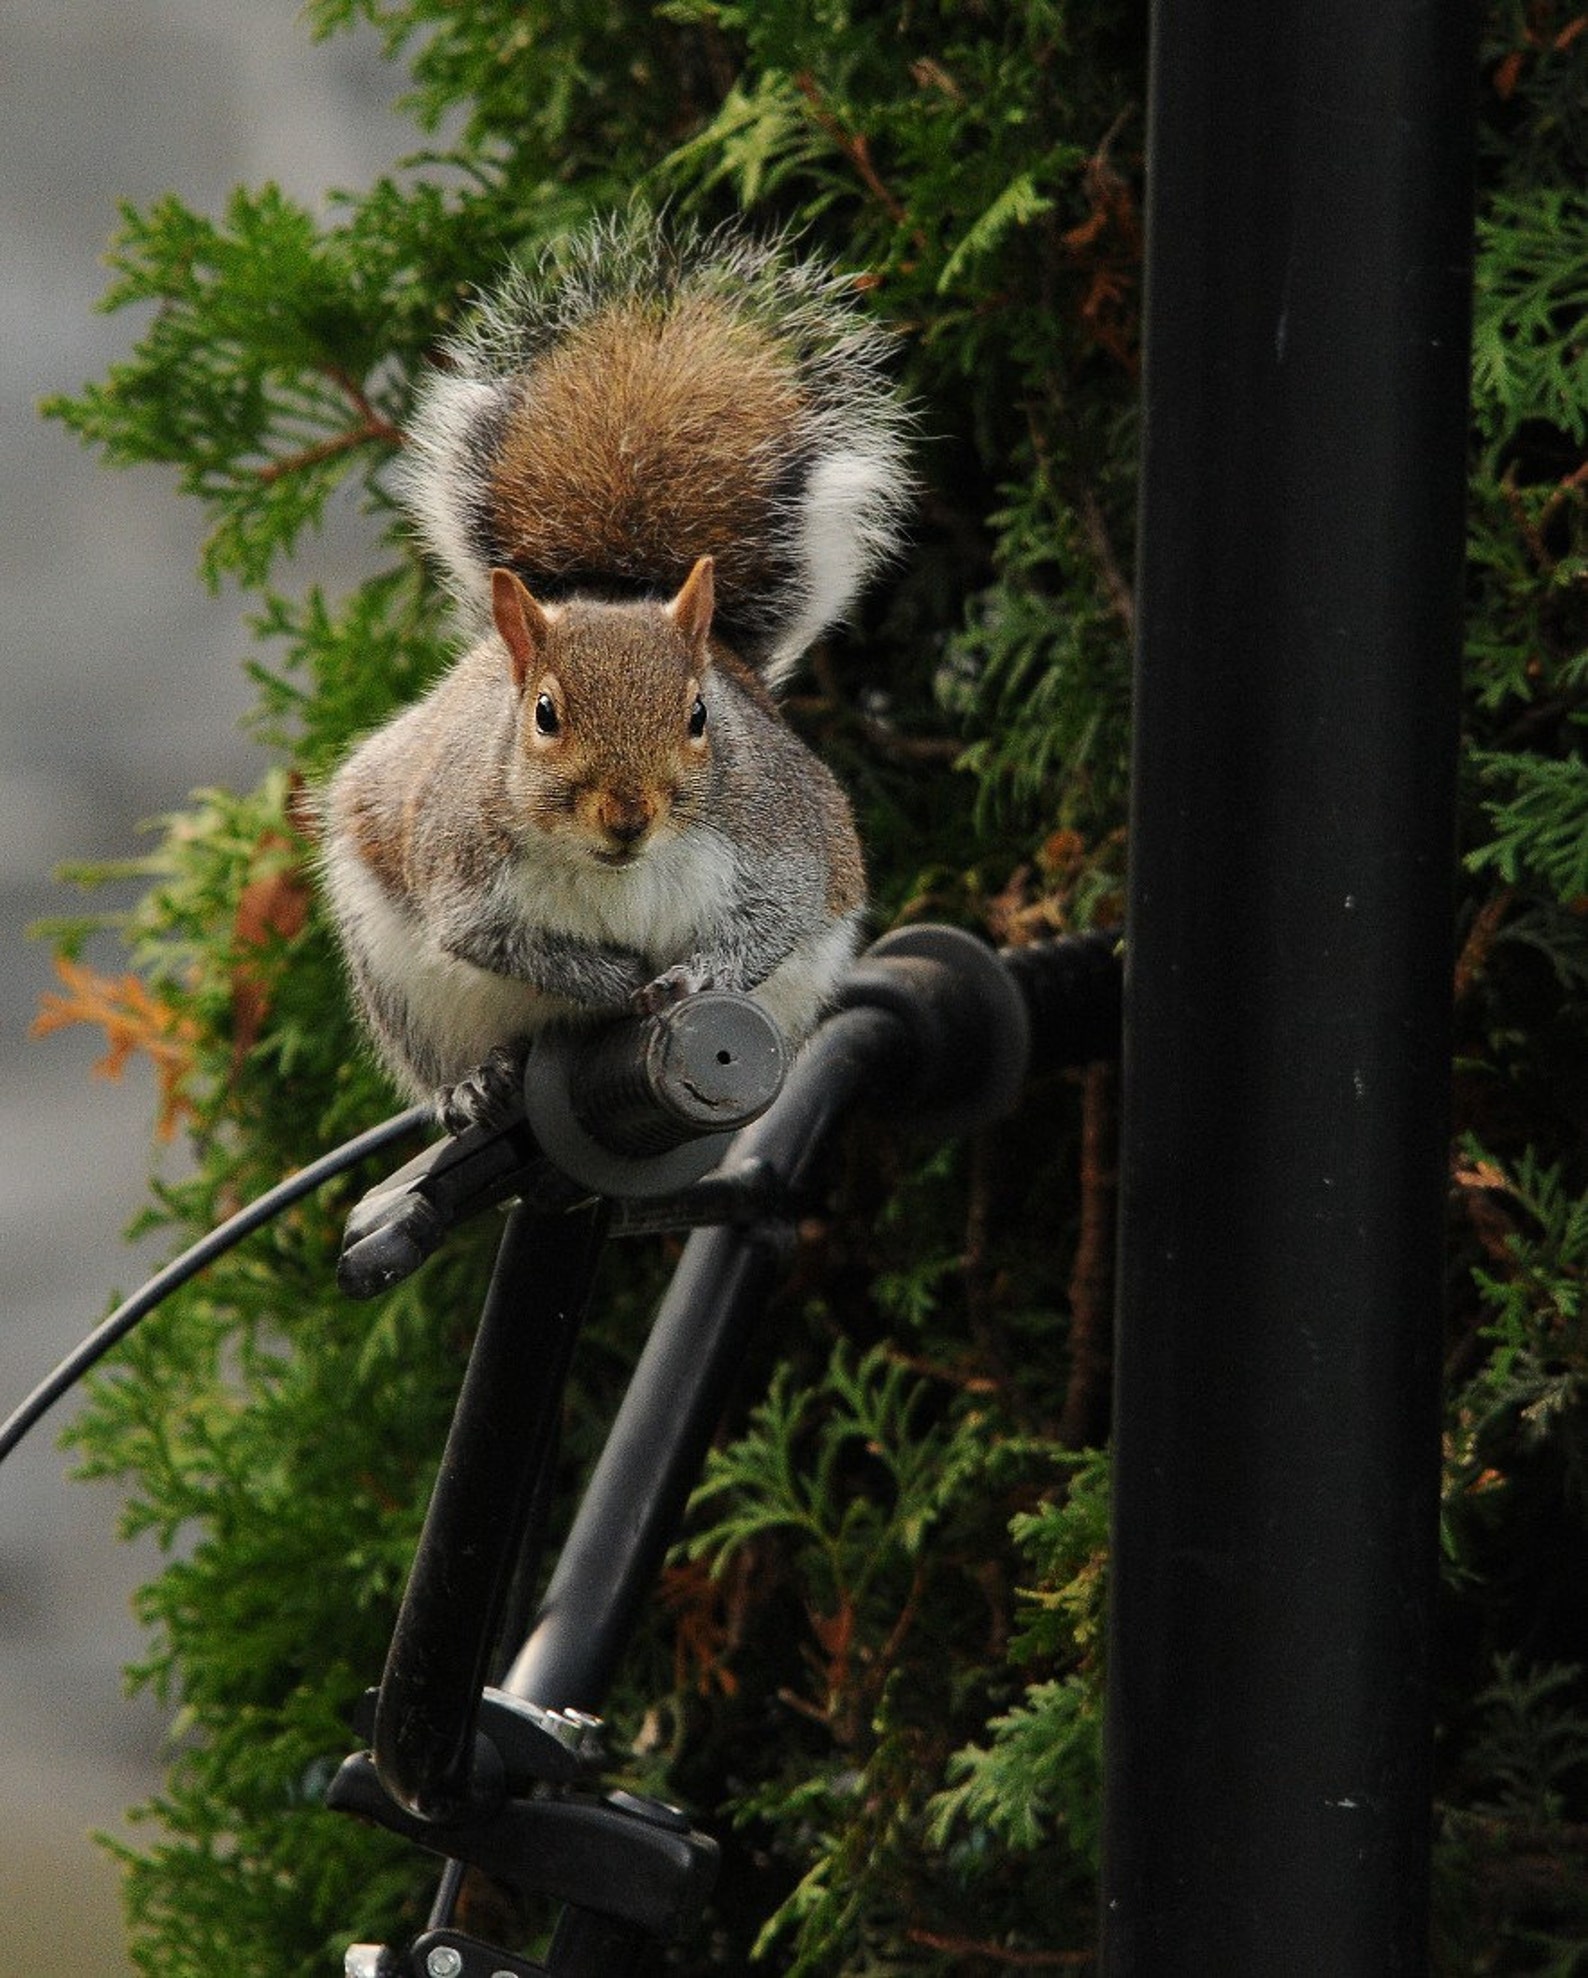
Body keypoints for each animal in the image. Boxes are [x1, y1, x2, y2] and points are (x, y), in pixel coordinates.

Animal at [318, 213, 915, 1130]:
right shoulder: (463, 868)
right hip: (399, 977)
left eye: (700, 715)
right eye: (544, 714)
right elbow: (497, 942)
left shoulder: (783, 840)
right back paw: (471, 1082)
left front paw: (694, 974)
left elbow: (774, 919)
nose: (628, 815)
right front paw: (612, 979)